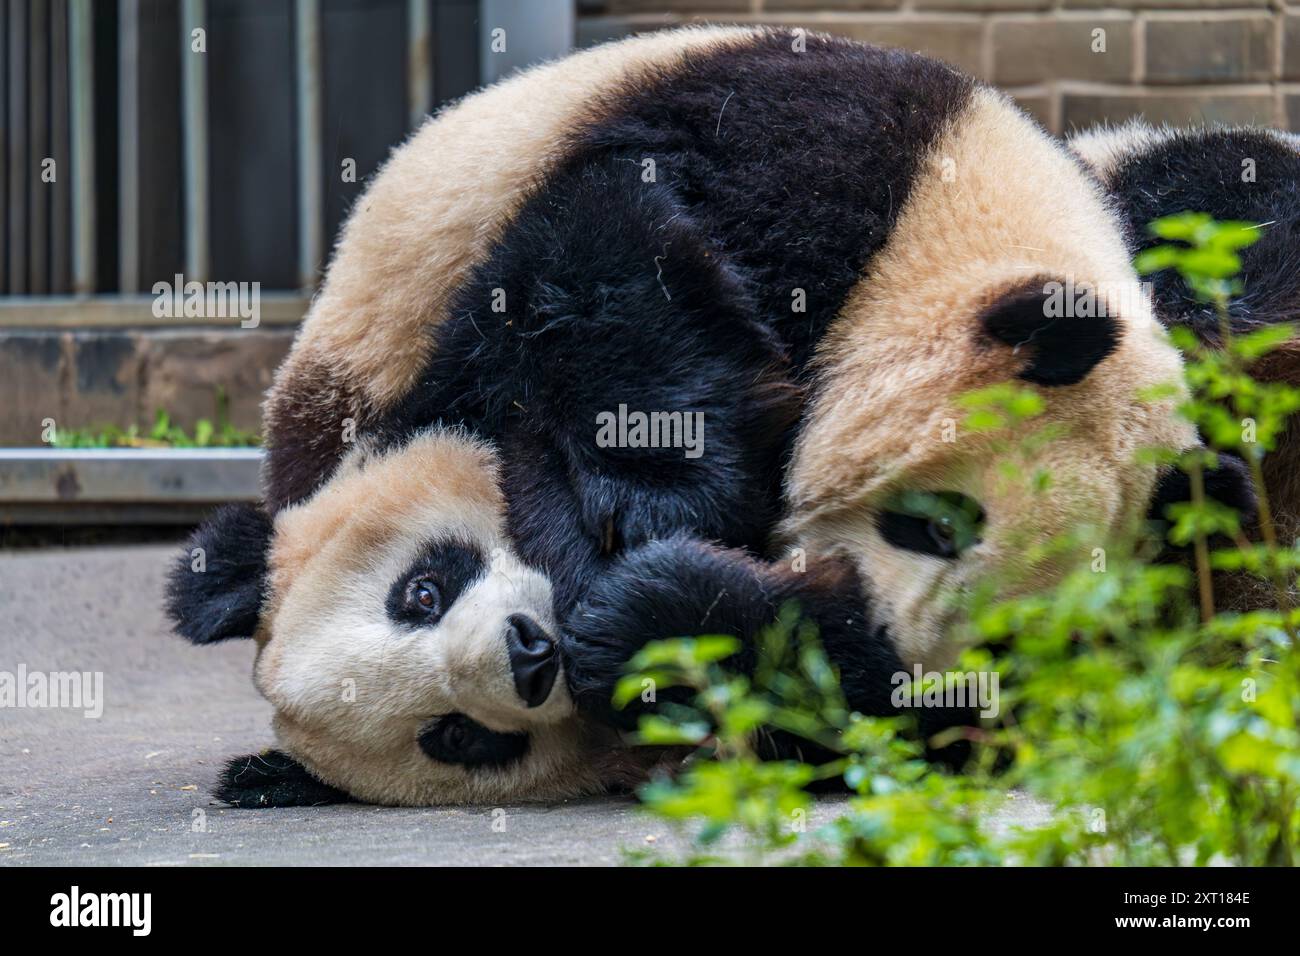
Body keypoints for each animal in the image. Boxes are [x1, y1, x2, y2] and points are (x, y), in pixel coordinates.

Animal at [166, 26, 1240, 807]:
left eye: (1015, 633)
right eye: (934, 525)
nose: (899, 641)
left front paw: (664, 606)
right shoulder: (792, 154)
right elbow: (611, 262)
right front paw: (649, 509)